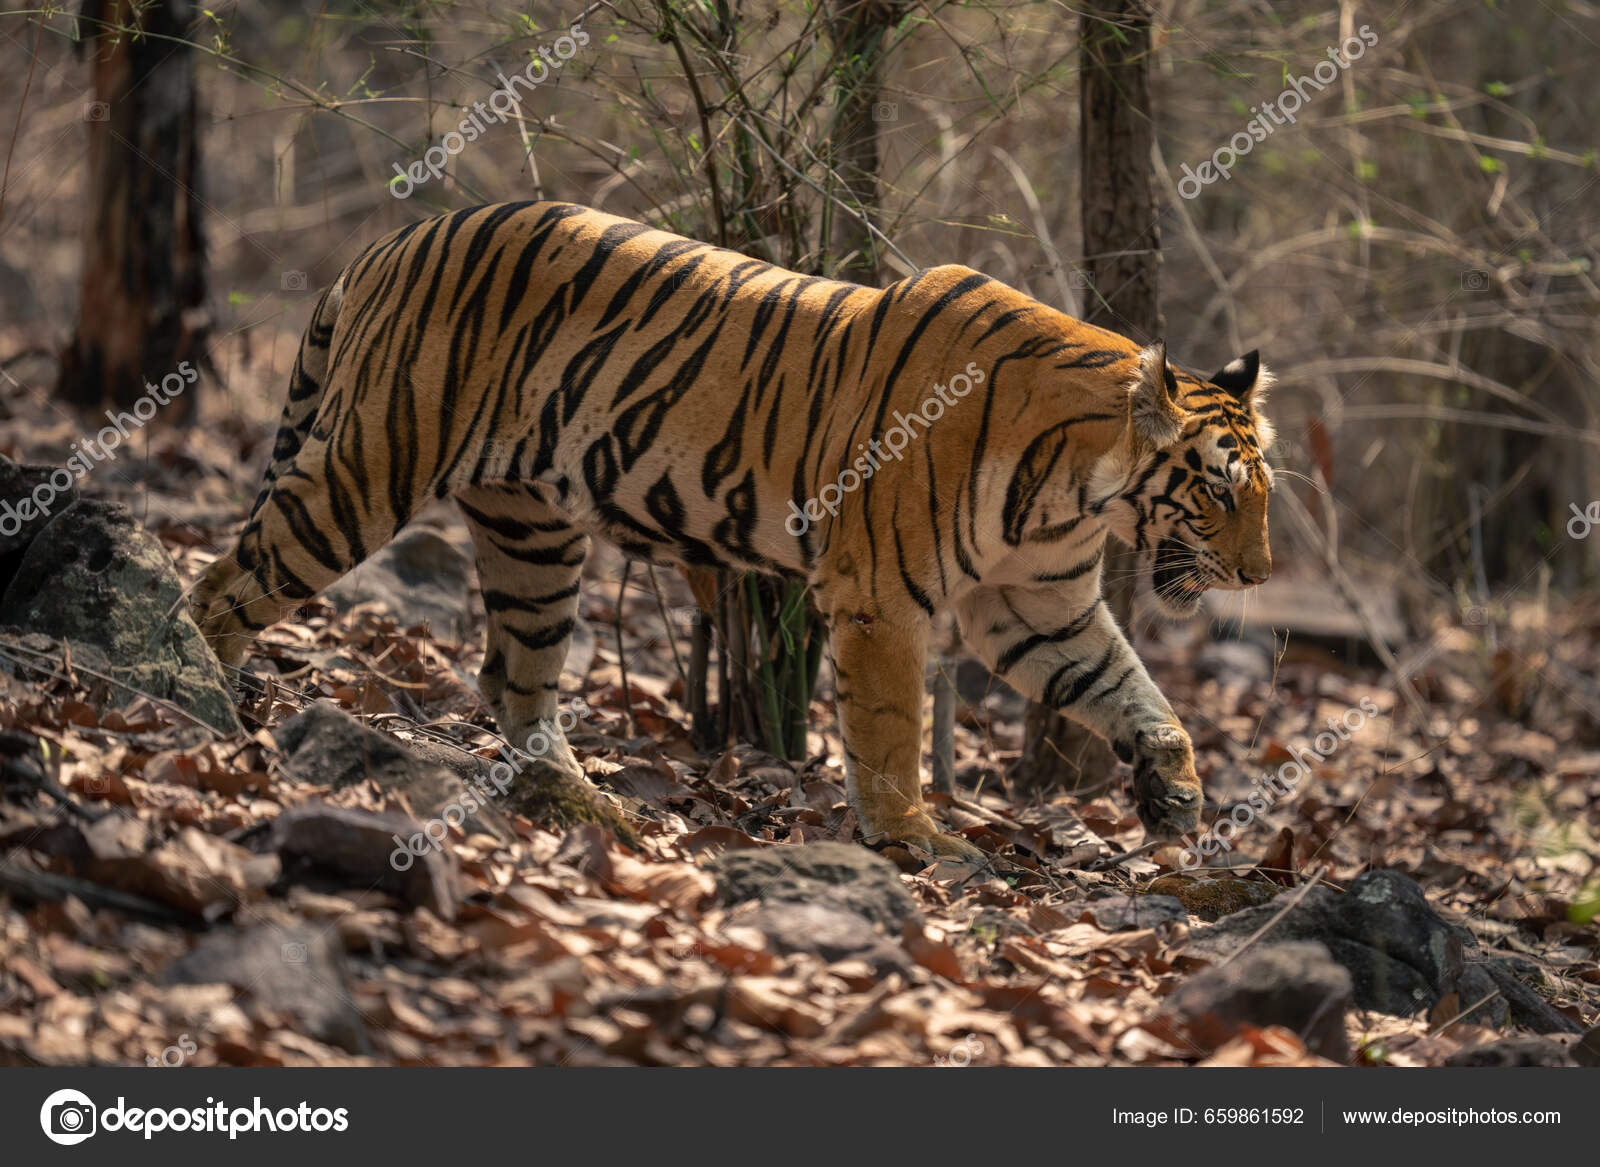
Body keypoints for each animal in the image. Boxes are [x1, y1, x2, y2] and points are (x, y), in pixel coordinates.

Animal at [193, 201, 1275, 860]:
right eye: (1221, 491)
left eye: (1260, 489)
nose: (1261, 576)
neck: (1075, 489)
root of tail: (388, 240)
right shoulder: (881, 598)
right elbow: (888, 729)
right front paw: (914, 840)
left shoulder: (1034, 604)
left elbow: (1129, 689)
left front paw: (1175, 791)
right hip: (366, 470)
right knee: (219, 587)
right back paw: (201, 710)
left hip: (535, 538)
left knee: (514, 682)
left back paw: (591, 809)